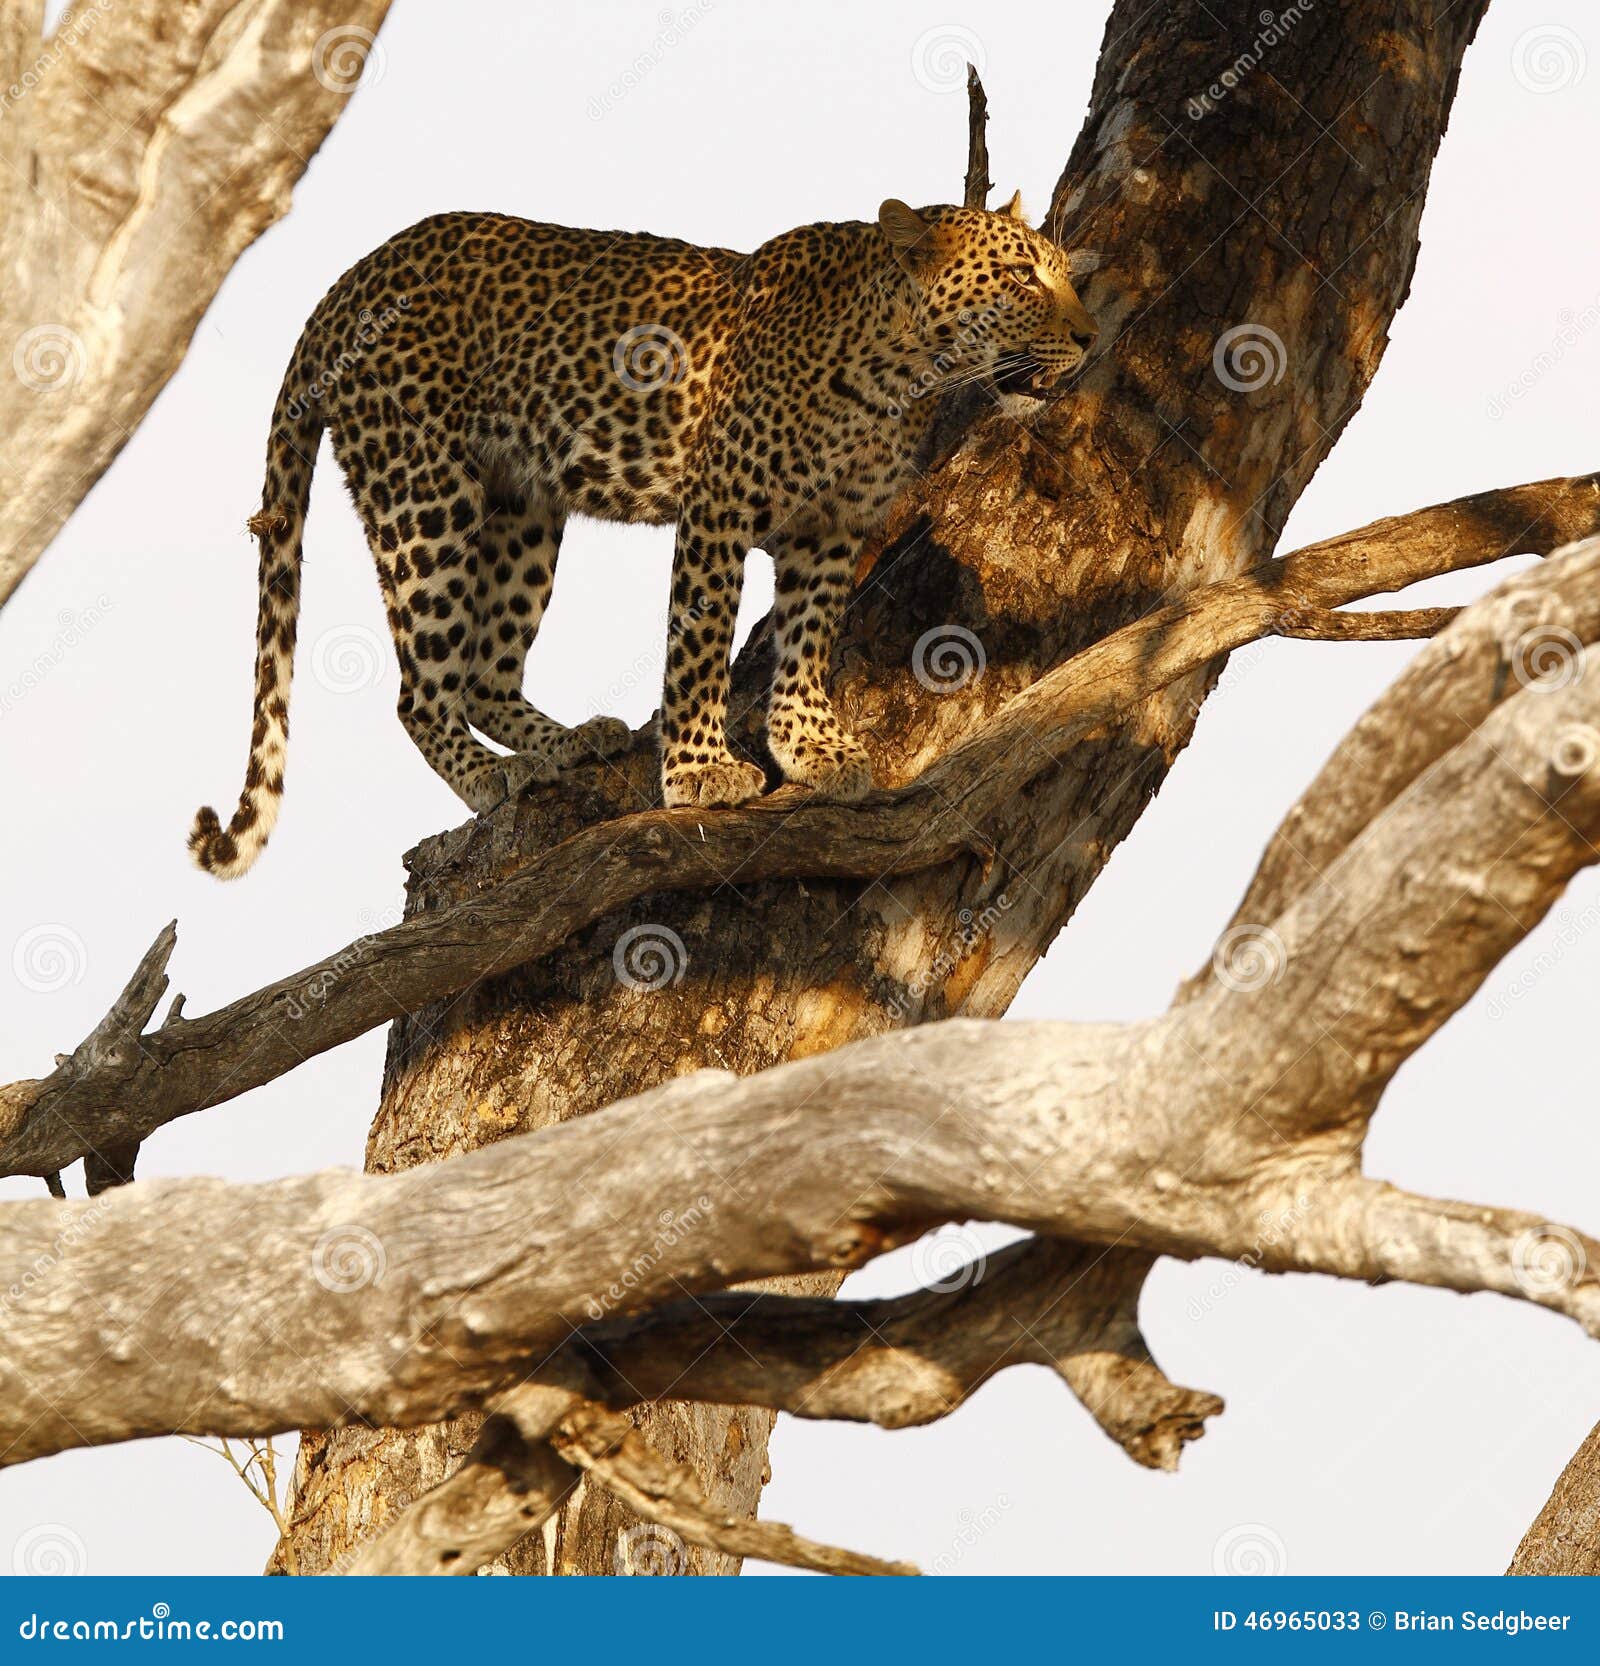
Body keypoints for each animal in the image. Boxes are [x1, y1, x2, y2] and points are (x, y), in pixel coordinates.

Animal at [189, 192, 1098, 878]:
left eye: (1062, 273)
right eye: (1019, 275)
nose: (1091, 337)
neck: (899, 375)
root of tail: (350, 278)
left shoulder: (832, 530)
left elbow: (809, 642)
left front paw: (813, 745)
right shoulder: (719, 511)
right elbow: (697, 649)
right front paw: (700, 773)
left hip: (524, 509)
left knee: (485, 670)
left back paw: (565, 743)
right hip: (424, 496)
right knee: (420, 688)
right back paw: (492, 774)